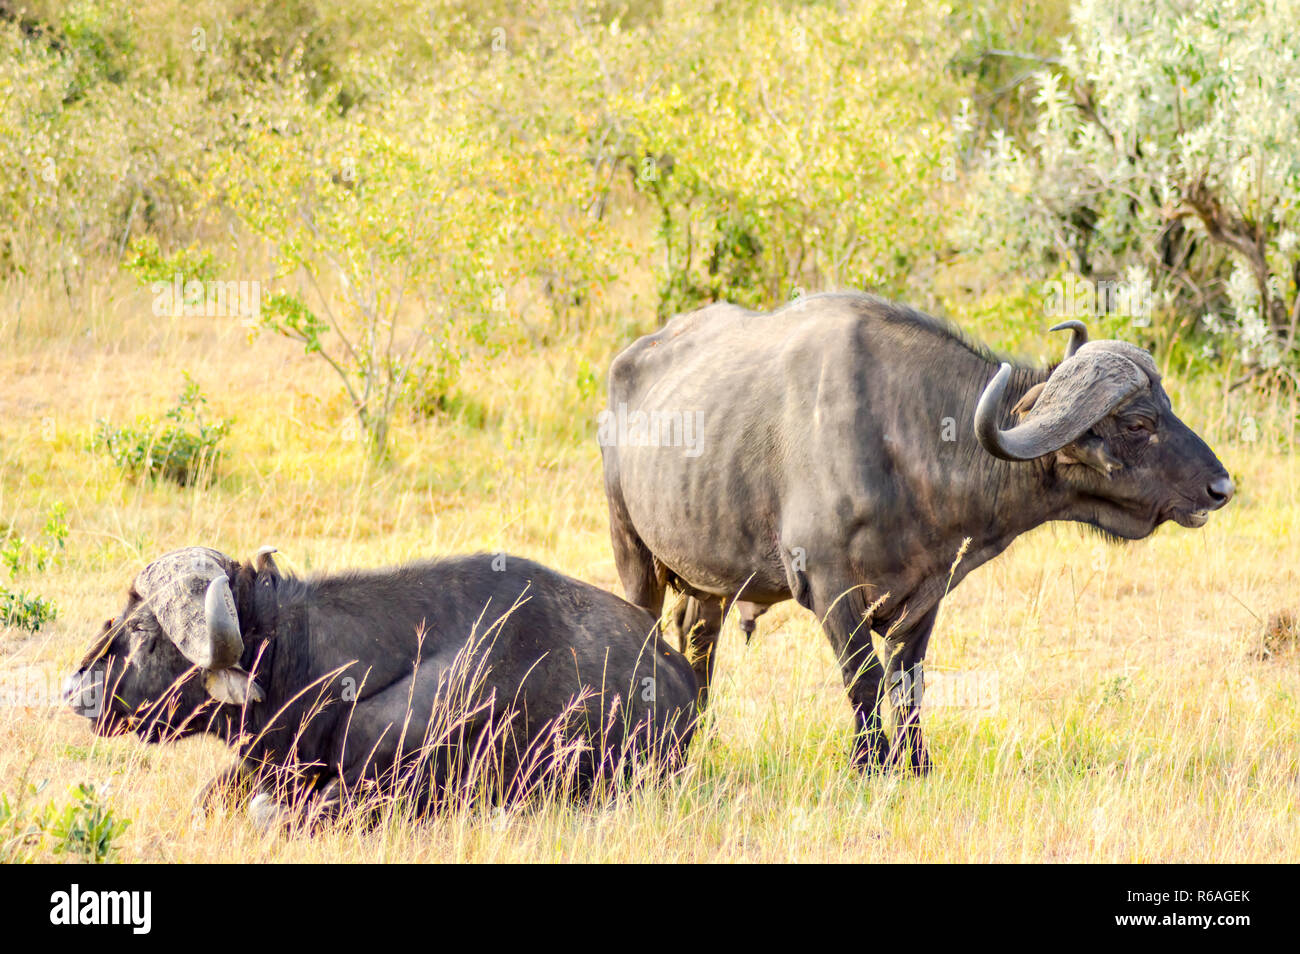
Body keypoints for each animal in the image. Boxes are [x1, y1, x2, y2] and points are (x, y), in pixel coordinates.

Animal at [600, 293, 1233, 773]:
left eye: (1167, 404)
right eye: (1139, 422)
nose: (1221, 487)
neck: (902, 436)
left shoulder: (927, 596)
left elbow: (908, 685)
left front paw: (917, 765)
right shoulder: (831, 593)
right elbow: (864, 682)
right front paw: (870, 764)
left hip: (709, 583)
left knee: (698, 643)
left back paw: (701, 735)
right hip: (633, 554)